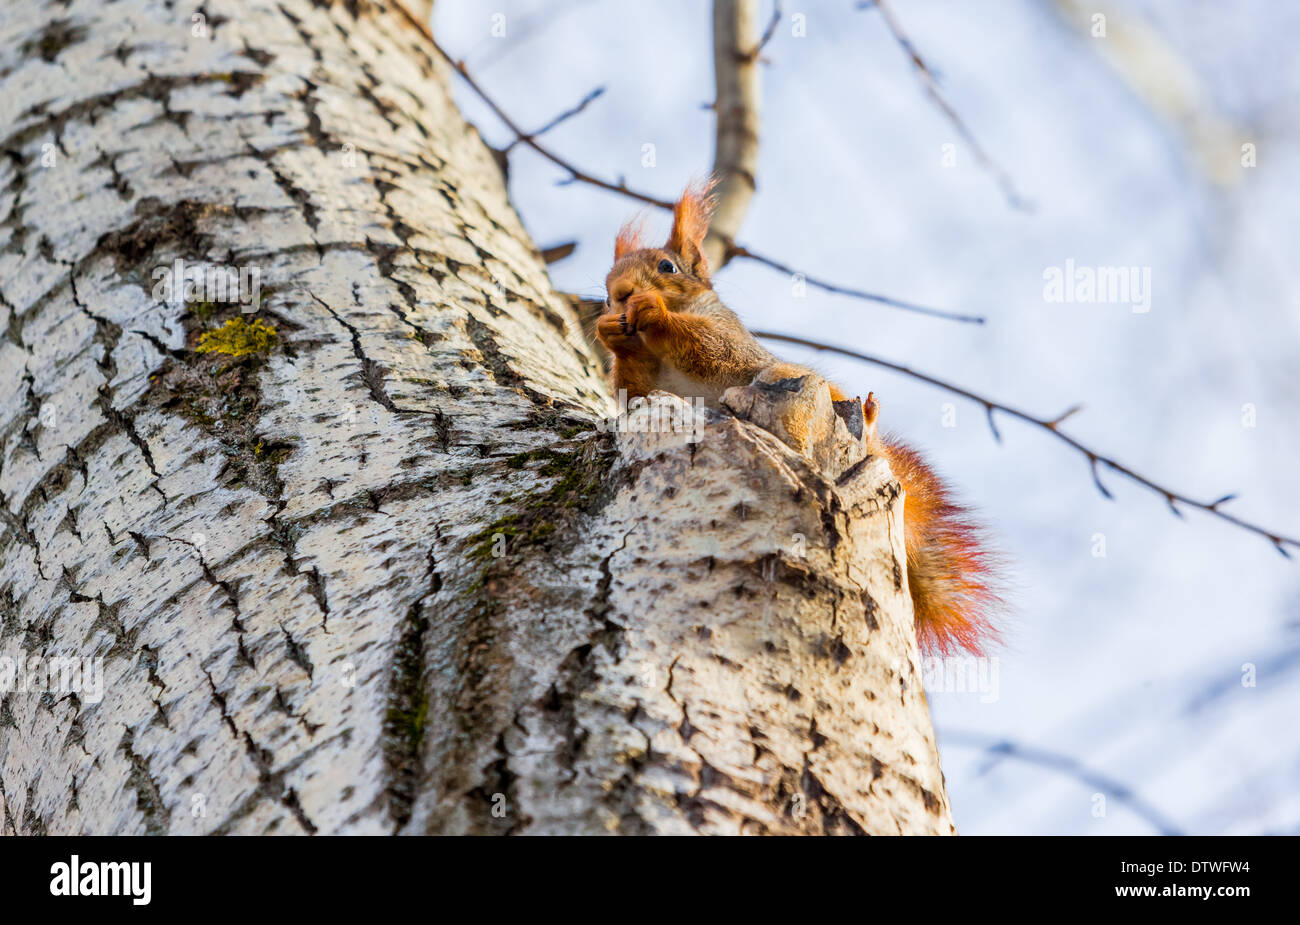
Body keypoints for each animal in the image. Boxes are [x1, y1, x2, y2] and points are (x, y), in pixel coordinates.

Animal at [595, 182, 1001, 656]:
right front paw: (612, 333)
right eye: (604, 288)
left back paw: (869, 415)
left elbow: (712, 347)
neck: (655, 350)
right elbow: (633, 388)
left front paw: (653, 310)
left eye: (666, 266)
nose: (620, 294)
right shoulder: (646, 389)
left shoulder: (733, 345)